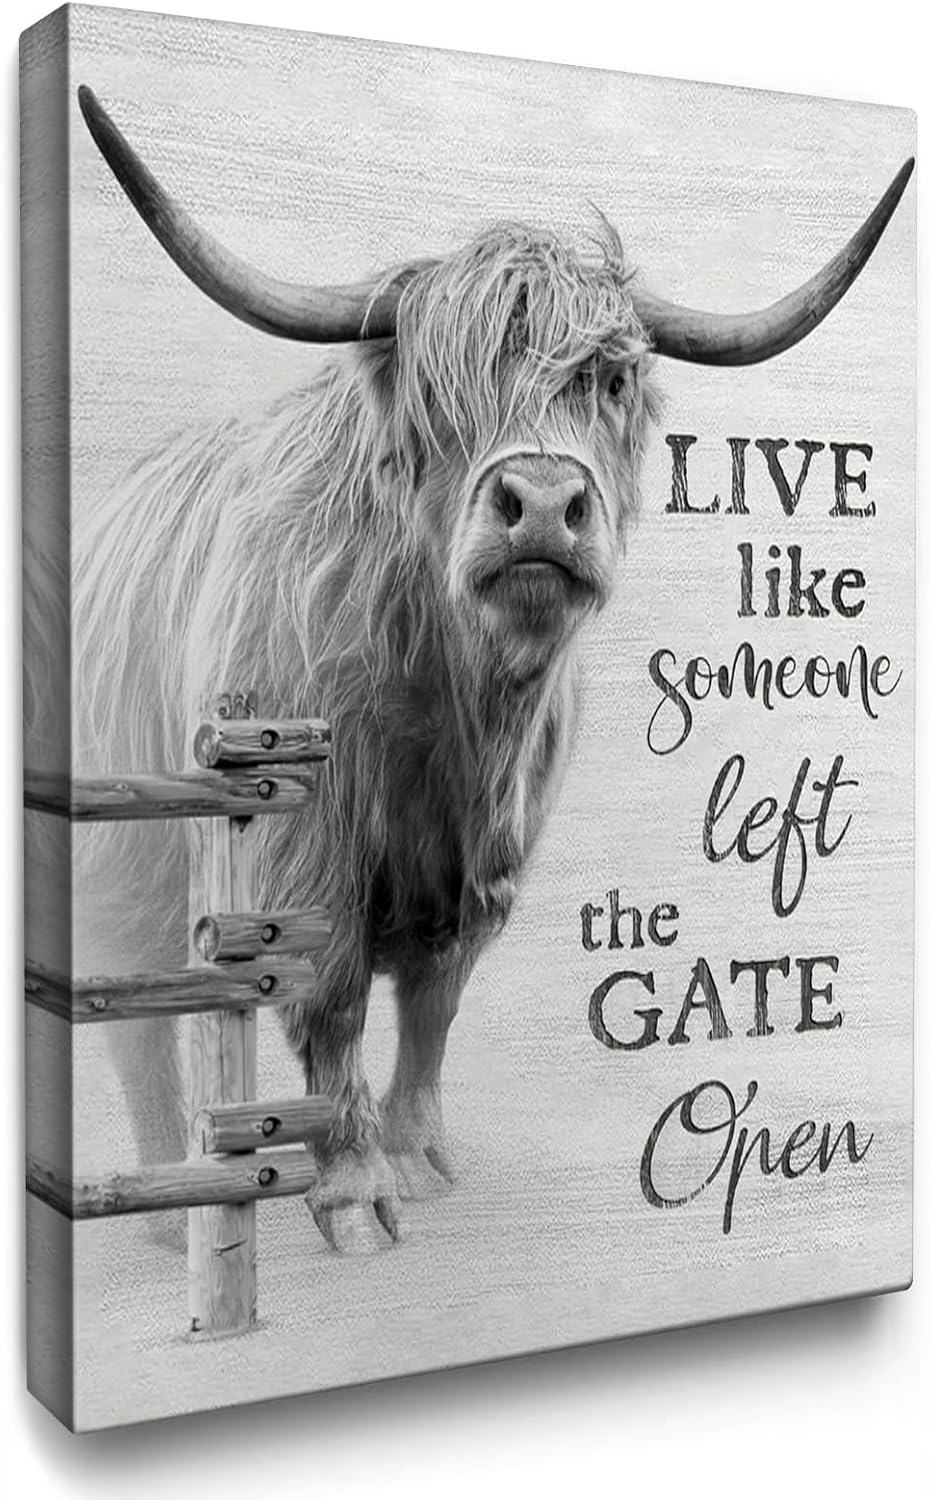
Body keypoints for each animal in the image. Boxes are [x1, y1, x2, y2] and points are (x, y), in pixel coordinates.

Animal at [72, 86, 912, 1253]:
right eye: (439, 390)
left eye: (612, 378)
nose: (546, 504)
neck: (450, 705)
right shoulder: (302, 850)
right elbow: (332, 998)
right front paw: (353, 1191)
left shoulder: (488, 853)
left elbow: (435, 997)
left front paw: (421, 1158)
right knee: (135, 1023)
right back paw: (162, 1202)